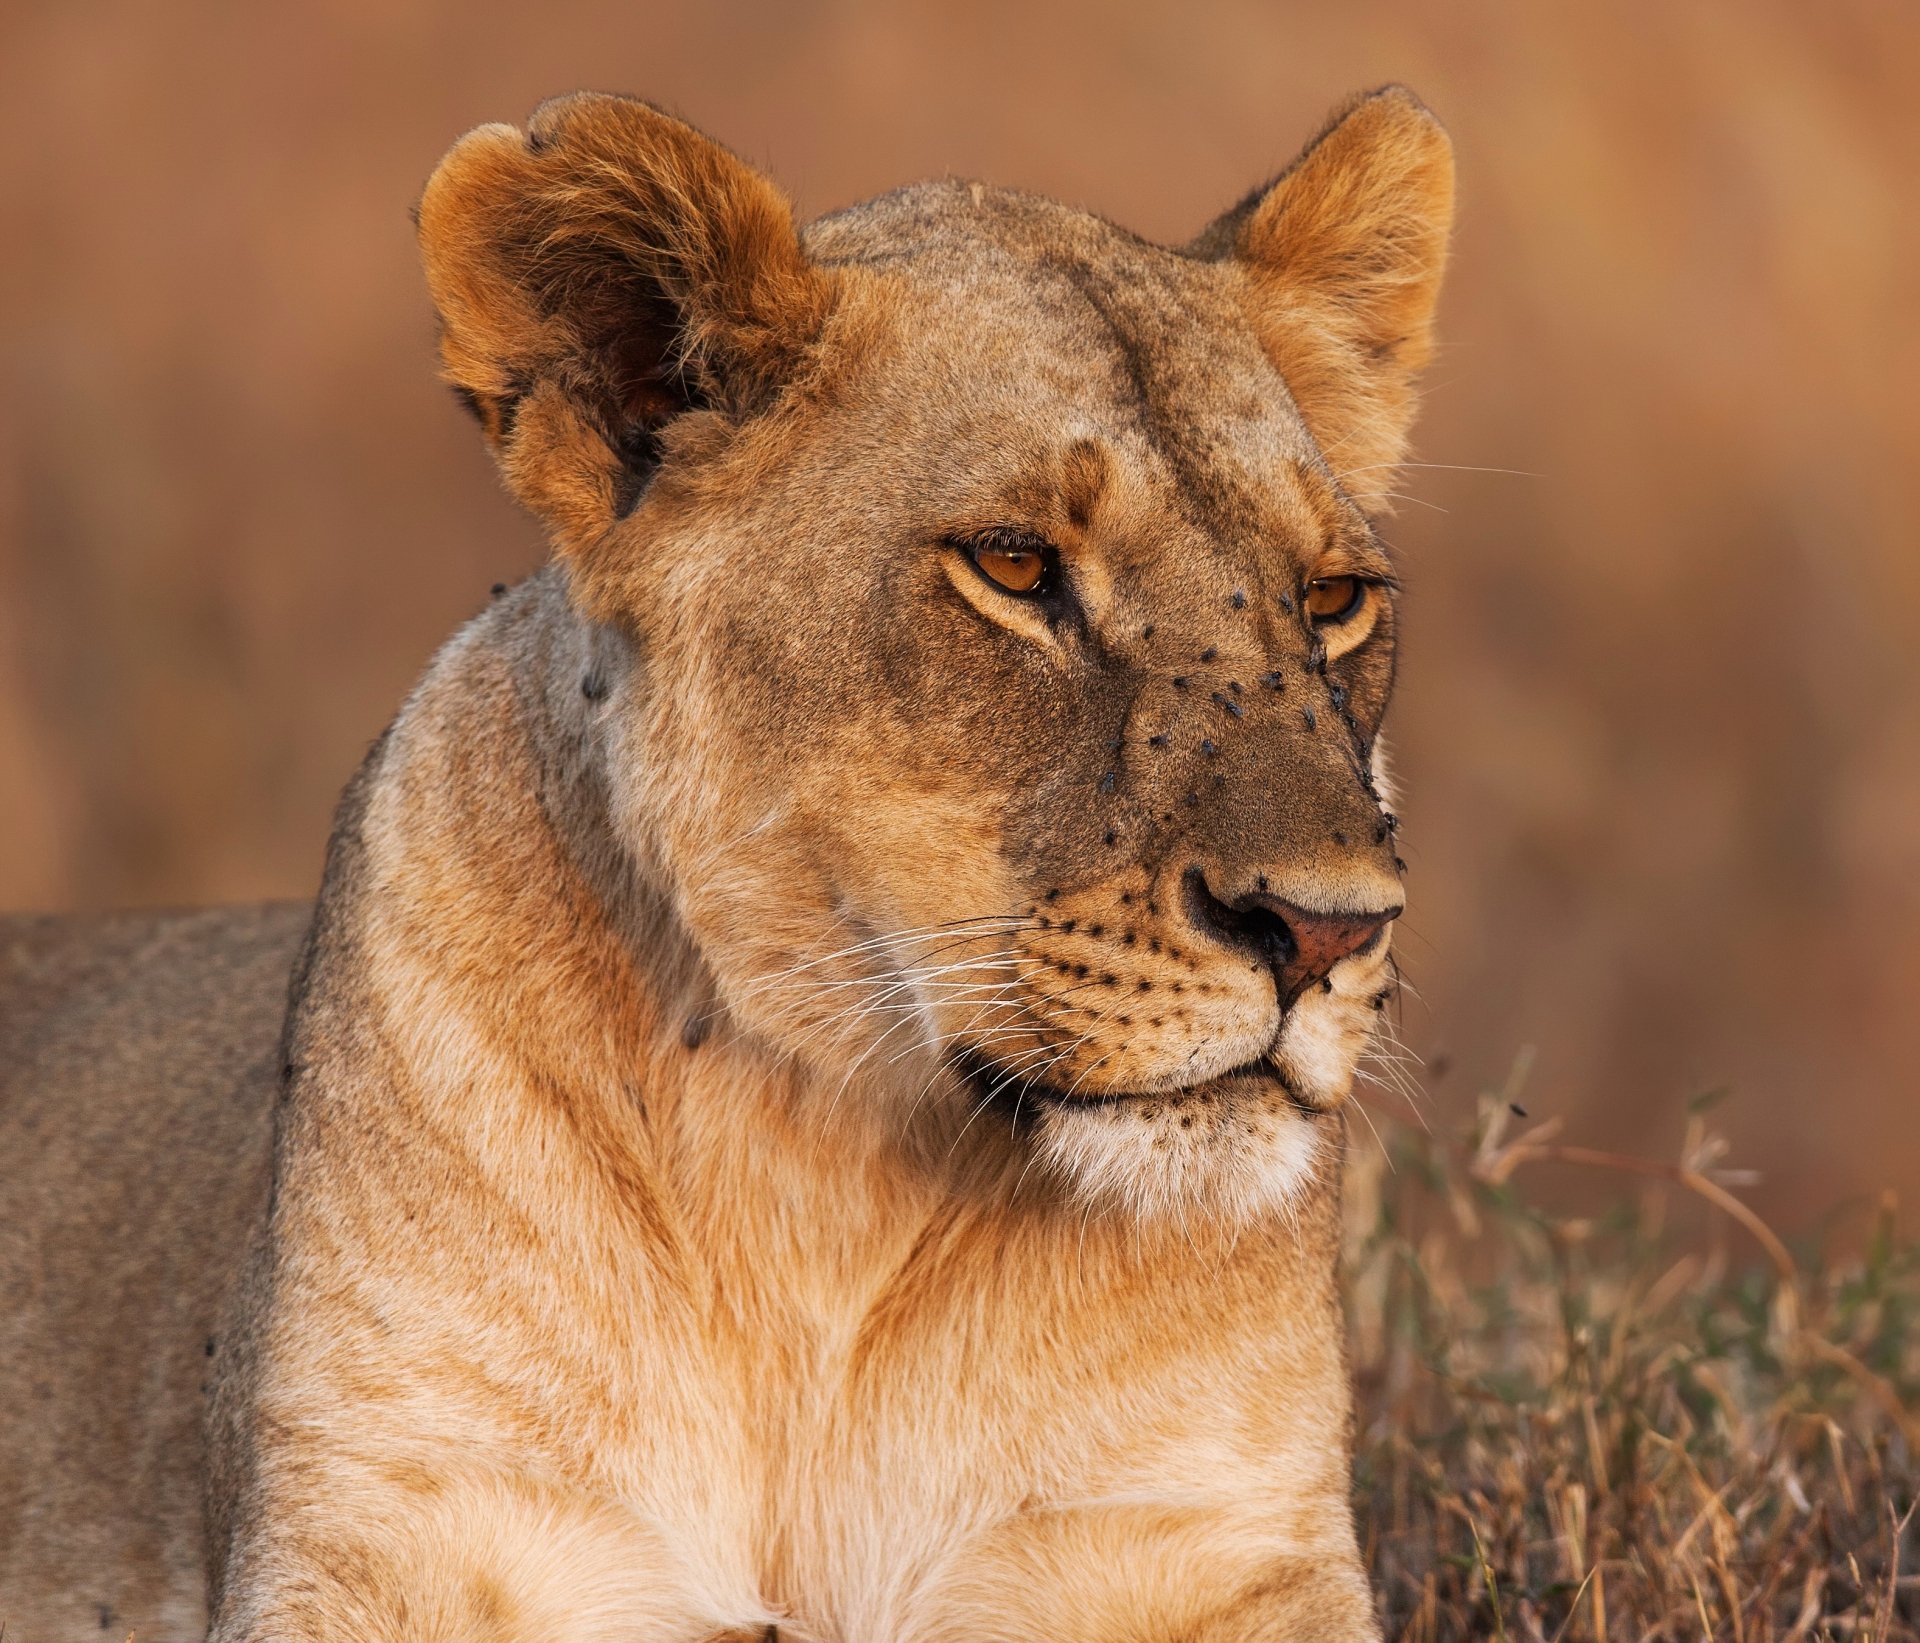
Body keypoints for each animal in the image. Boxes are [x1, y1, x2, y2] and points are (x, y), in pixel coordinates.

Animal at [0, 86, 1453, 1641]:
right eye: (1014, 565)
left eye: (1335, 597)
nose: (1326, 930)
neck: (821, 1186)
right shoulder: (383, 1524)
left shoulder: (1211, 1539)